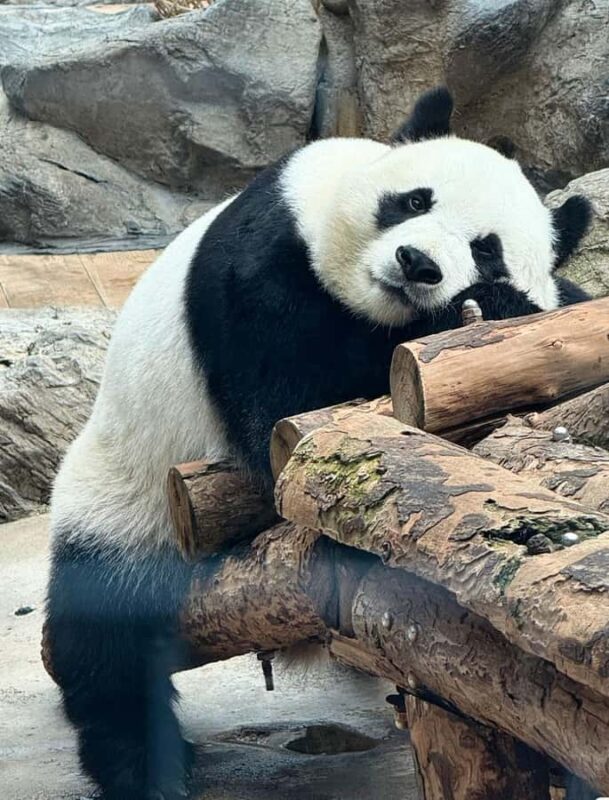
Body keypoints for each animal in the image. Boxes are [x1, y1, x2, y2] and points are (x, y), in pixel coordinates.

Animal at [46, 87, 591, 800]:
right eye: (414, 201)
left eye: (488, 248)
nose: (417, 264)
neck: (371, 306)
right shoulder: (266, 260)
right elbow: (289, 402)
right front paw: (475, 312)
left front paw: (496, 305)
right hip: (125, 495)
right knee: (104, 633)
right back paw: (146, 769)